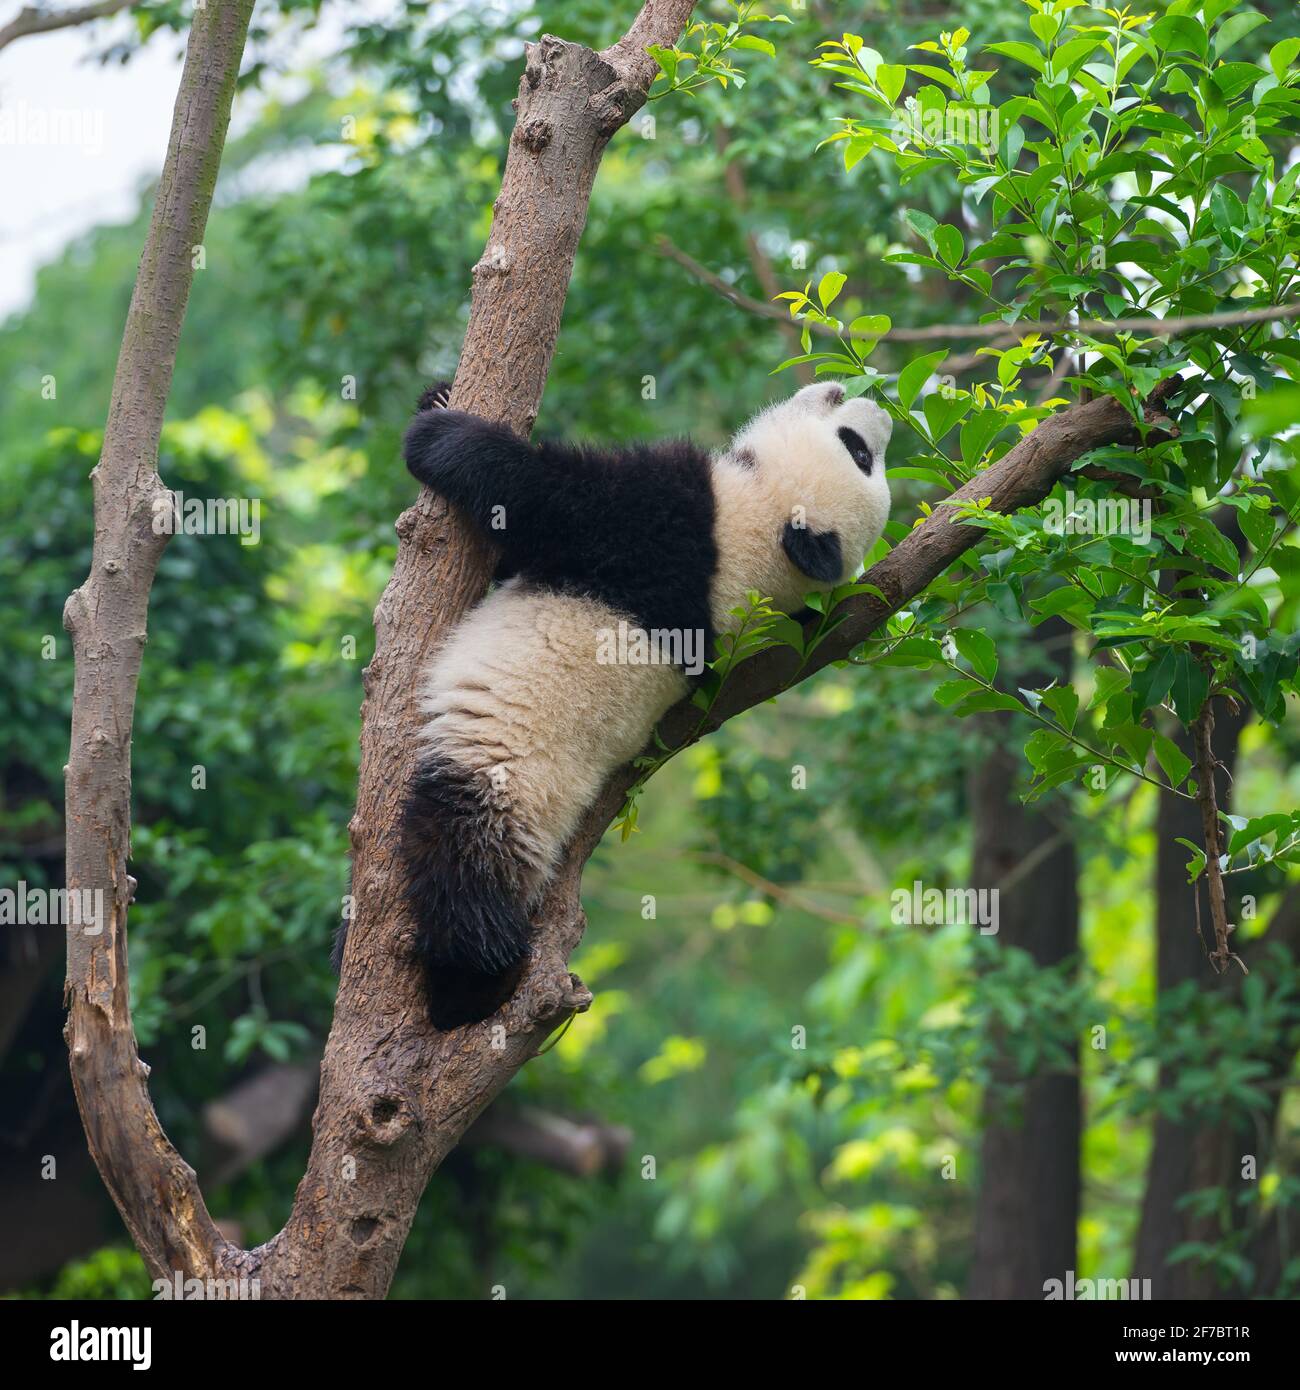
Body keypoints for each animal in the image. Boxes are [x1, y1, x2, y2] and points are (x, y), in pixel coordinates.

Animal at [377, 380, 891, 1028]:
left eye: (859, 454)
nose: (879, 410)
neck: (766, 546)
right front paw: (438, 395)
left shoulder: (669, 525)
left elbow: (539, 500)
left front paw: (437, 436)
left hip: (503, 779)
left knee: (463, 860)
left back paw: (467, 986)